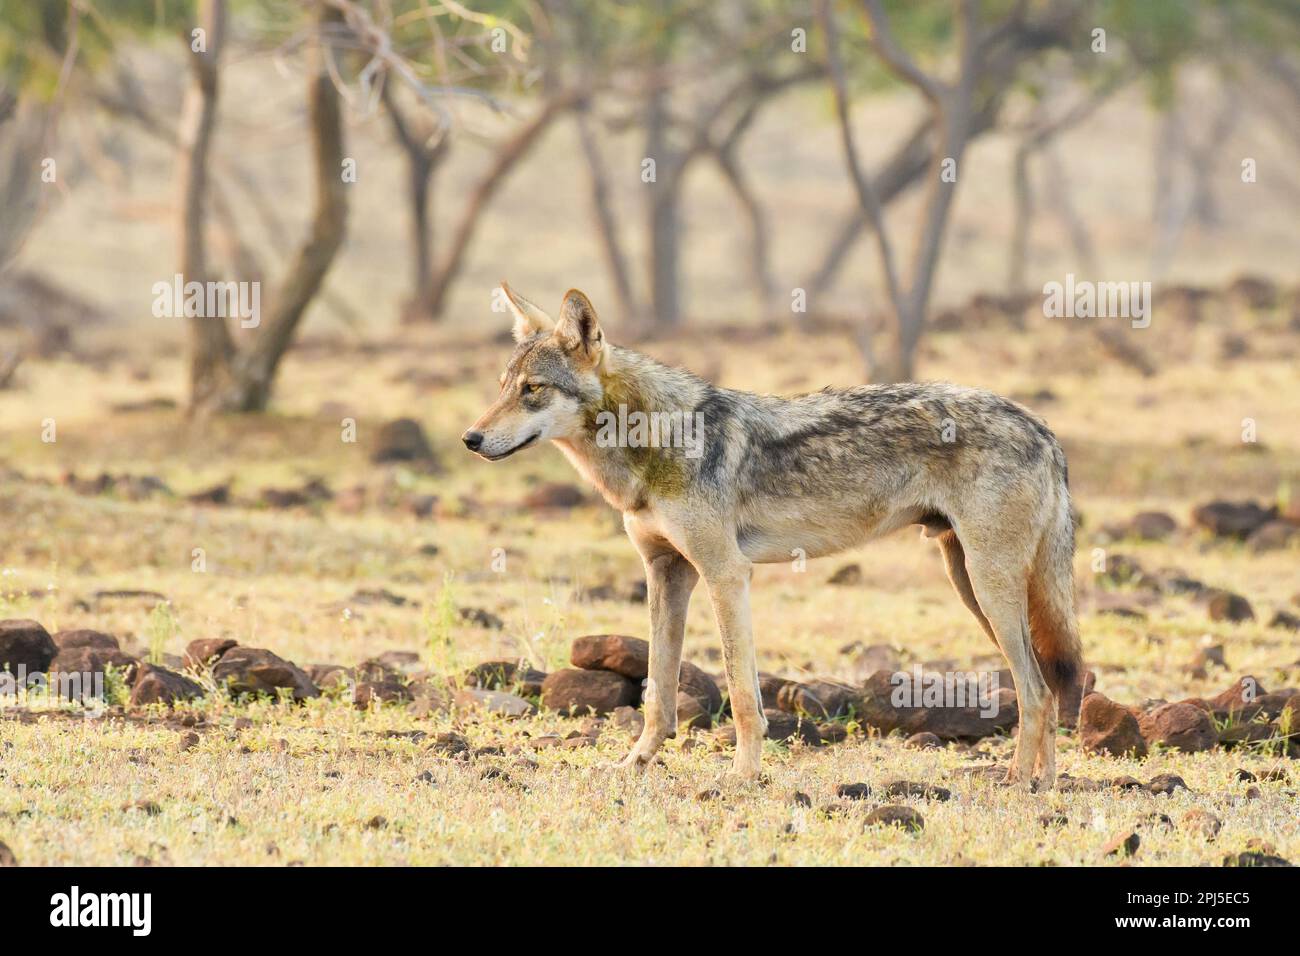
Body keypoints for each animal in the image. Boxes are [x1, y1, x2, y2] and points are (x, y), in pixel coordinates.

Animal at [464, 284, 1084, 788]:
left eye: (533, 389)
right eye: (501, 388)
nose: (471, 439)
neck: (652, 442)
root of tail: (1042, 427)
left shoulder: (725, 574)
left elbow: (742, 695)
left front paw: (743, 776)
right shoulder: (666, 574)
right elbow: (658, 694)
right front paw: (634, 765)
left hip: (987, 586)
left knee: (1035, 690)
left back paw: (1016, 784)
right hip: (971, 584)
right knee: (1048, 691)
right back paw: (1044, 784)